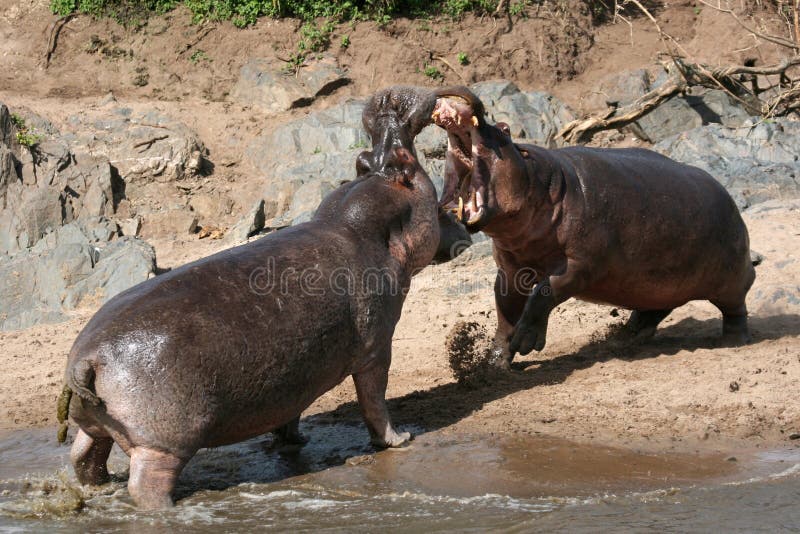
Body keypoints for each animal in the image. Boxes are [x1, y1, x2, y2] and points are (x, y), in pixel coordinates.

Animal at [424, 87, 756, 368]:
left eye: (505, 129)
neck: (542, 185)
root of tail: (728, 197)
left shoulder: (581, 265)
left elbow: (544, 293)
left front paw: (527, 342)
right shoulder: (509, 270)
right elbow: (506, 311)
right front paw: (494, 364)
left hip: (730, 279)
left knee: (735, 309)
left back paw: (732, 341)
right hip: (661, 283)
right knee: (656, 308)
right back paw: (626, 336)